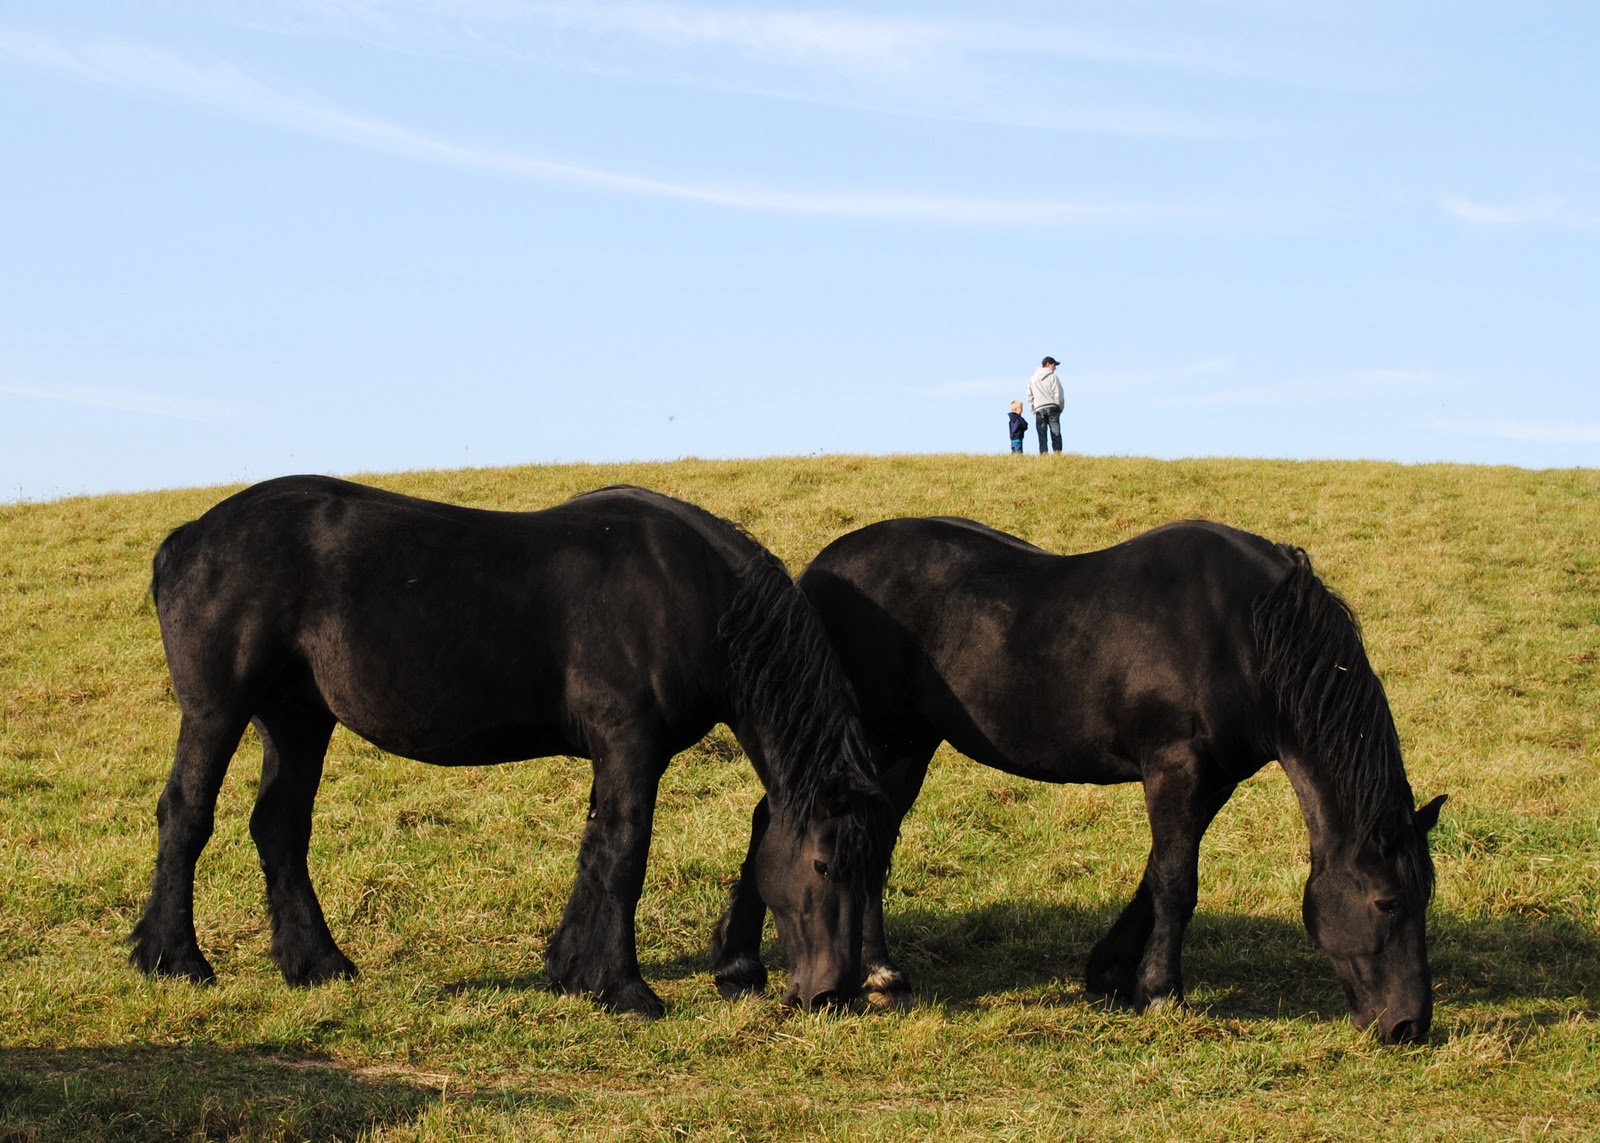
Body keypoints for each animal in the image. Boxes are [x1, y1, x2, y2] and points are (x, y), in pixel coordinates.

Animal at [130, 475, 888, 1017]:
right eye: (823, 864)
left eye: (868, 869)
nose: (833, 994)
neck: (688, 589)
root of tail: (187, 538)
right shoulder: (630, 745)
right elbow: (625, 851)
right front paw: (624, 988)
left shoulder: (614, 755)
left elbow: (596, 852)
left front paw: (572, 971)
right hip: (216, 711)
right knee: (185, 816)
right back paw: (176, 959)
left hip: (296, 720)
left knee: (279, 829)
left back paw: (317, 963)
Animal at [710, 516, 1445, 1043]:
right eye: (1386, 902)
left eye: (1423, 901)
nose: (1409, 1025)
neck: (1244, 630)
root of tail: (817, 573)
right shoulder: (1175, 768)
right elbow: (1177, 882)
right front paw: (1161, 991)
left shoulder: (1211, 779)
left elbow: (1157, 875)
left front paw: (1113, 972)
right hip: (871, 738)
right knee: (783, 819)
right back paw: (740, 963)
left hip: (905, 748)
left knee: (870, 837)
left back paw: (880, 973)